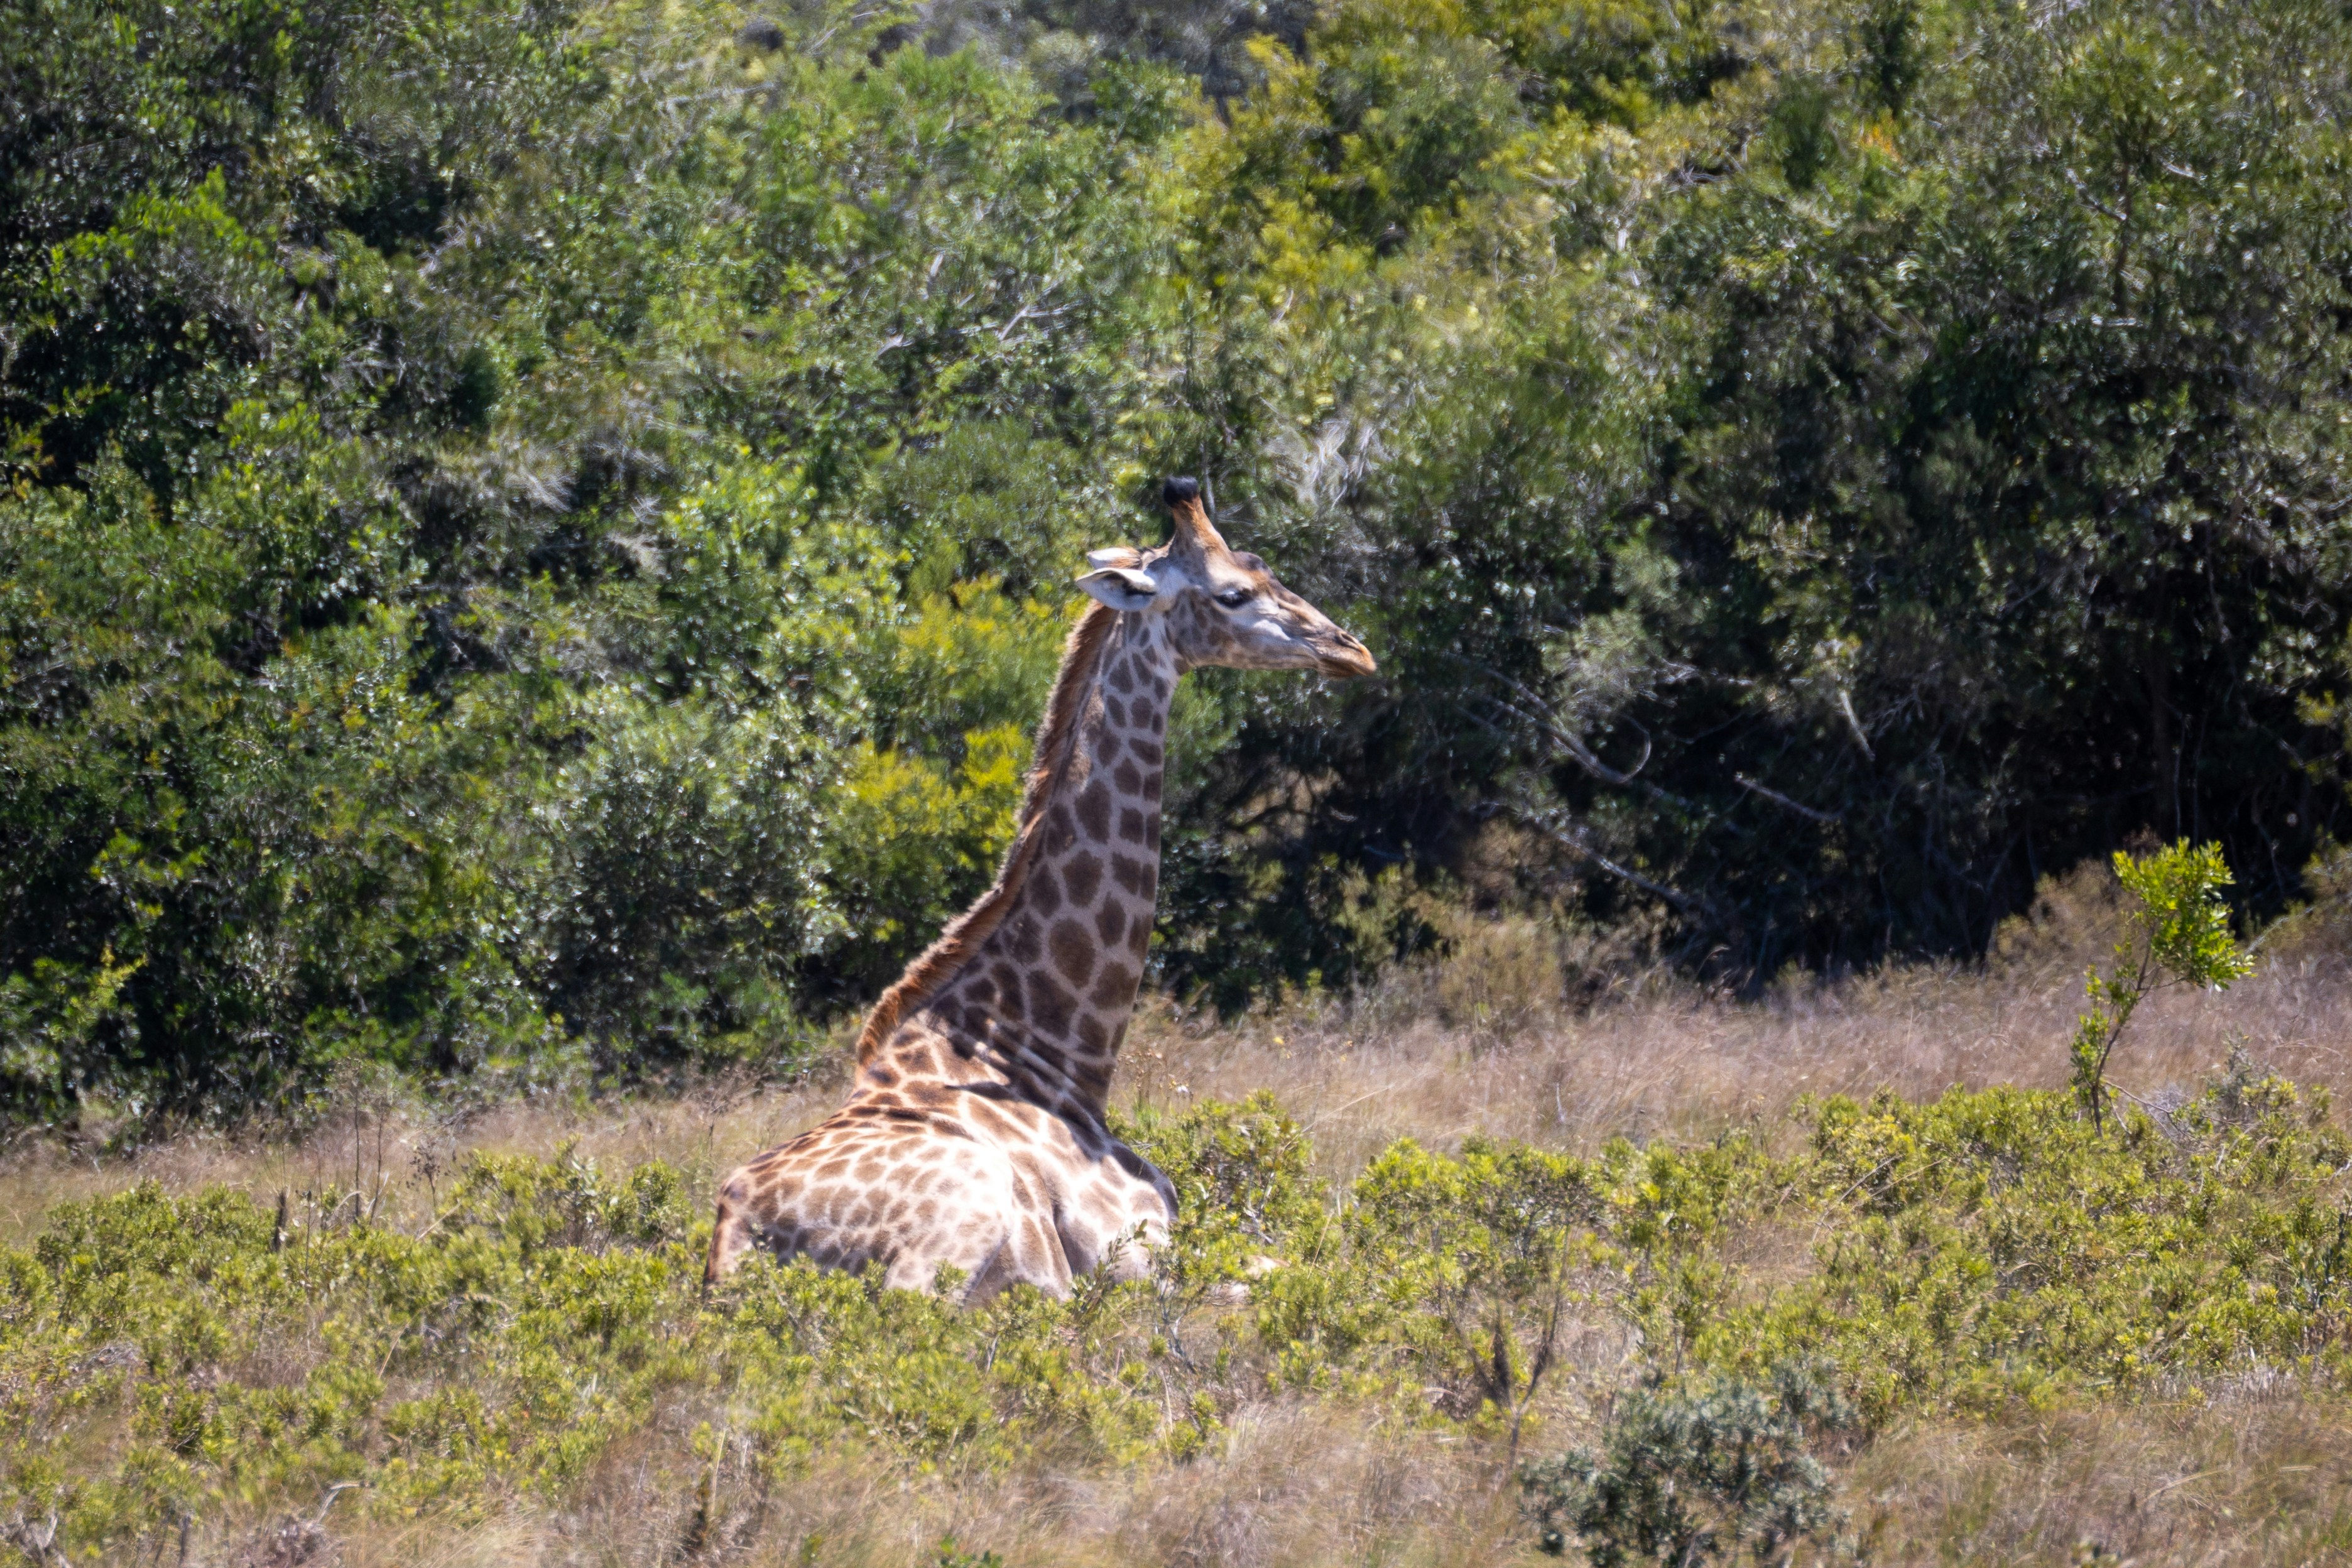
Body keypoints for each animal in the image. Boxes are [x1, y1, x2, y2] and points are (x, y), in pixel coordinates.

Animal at [703, 477, 1375, 1299]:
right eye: (1234, 592)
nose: (1352, 650)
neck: (1053, 1059)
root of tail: (731, 1240)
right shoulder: (1135, 1256)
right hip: (966, 1232)